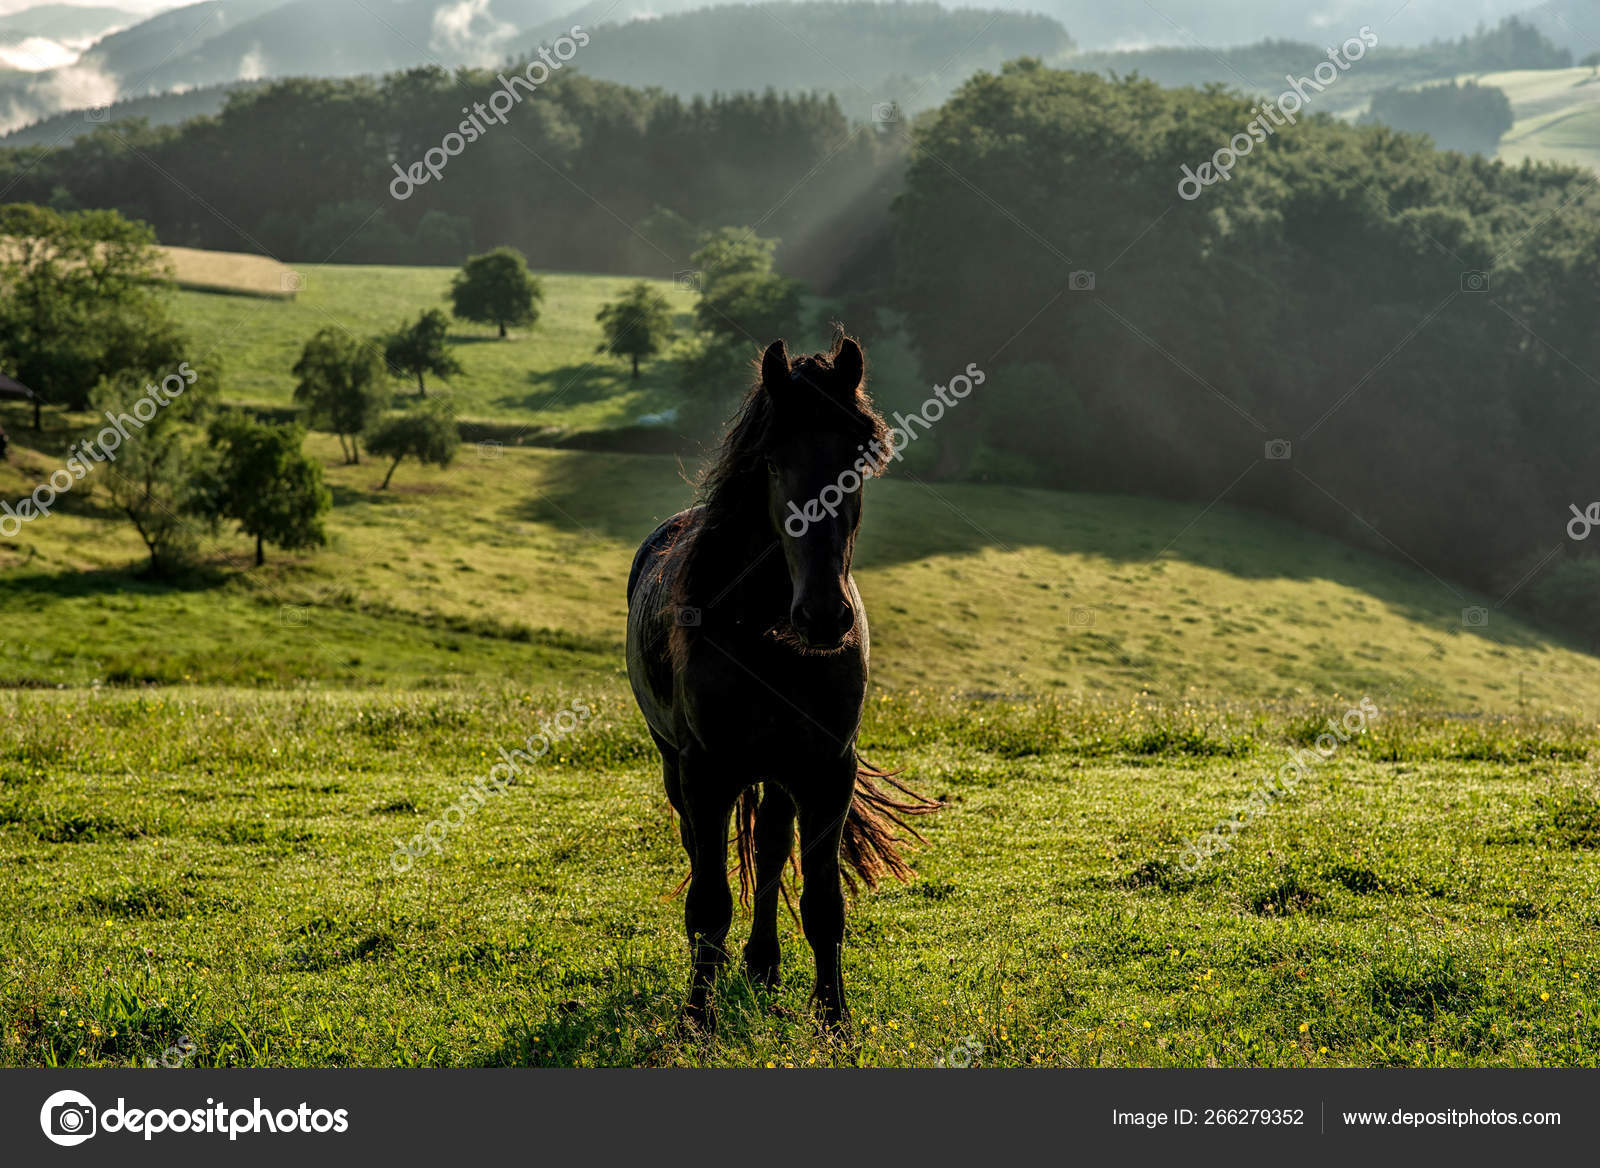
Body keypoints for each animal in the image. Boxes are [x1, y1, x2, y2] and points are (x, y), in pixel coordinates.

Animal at [625, 334, 939, 1031]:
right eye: (772, 462)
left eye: (858, 461)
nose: (823, 616)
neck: (769, 640)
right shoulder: (707, 771)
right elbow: (709, 901)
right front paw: (698, 1020)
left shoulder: (826, 770)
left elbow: (823, 902)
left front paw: (834, 1019)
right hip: (677, 765)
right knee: (702, 852)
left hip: (779, 772)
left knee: (769, 845)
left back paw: (764, 963)